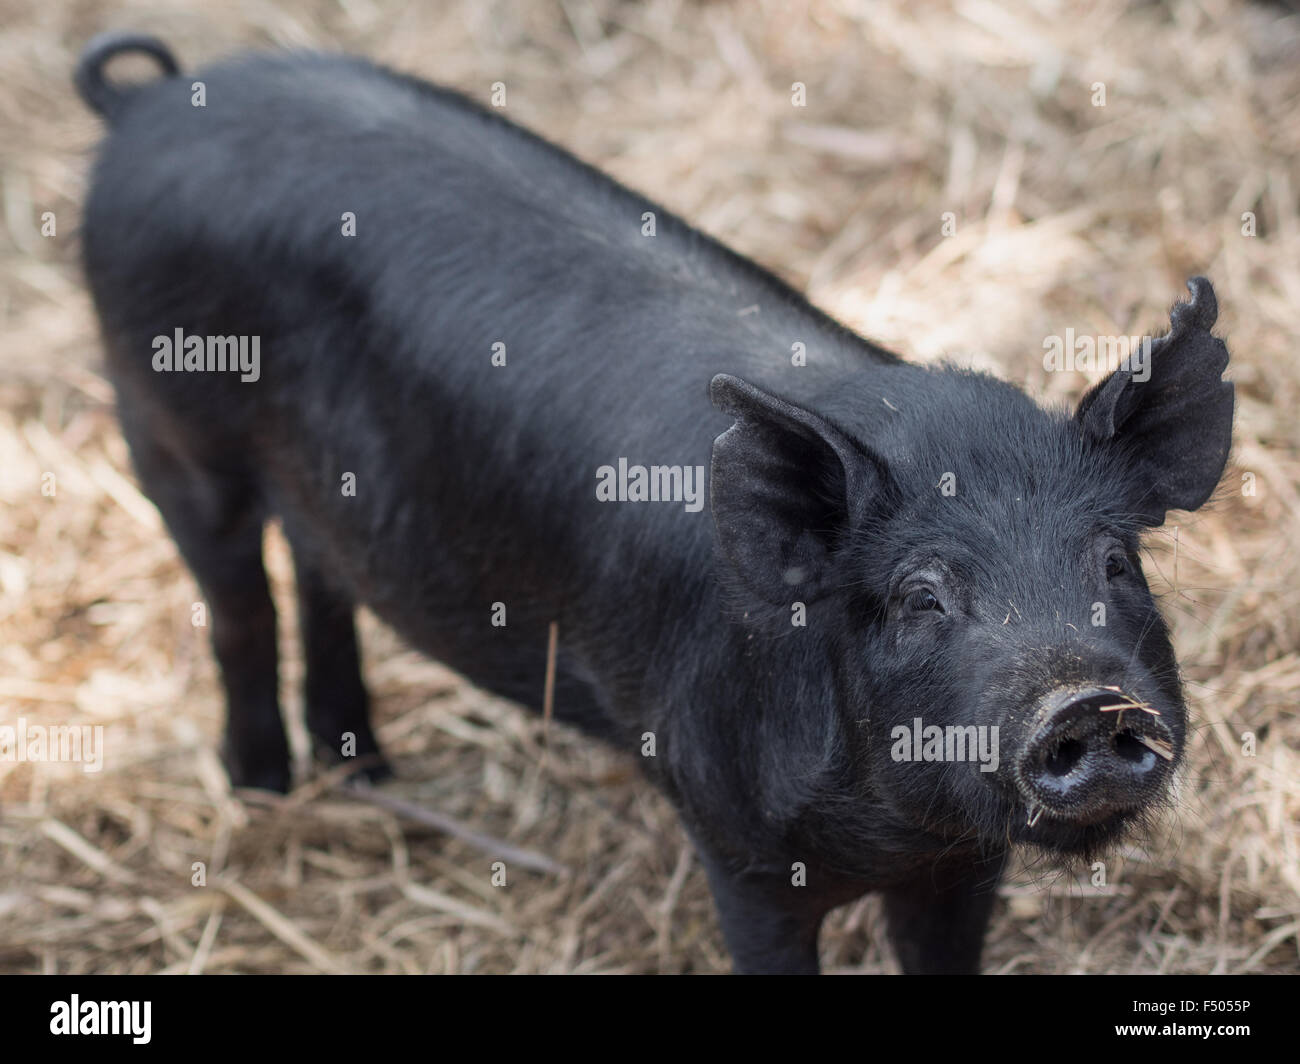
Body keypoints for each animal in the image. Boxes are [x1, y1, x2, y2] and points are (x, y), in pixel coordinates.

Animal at [75, 32, 1234, 974]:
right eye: (921, 596)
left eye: (1115, 562)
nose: (1091, 702)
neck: (896, 831)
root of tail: (151, 102)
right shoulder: (738, 840)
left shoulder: (961, 862)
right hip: (162, 423)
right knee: (238, 603)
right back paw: (263, 790)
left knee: (320, 572)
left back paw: (364, 770)